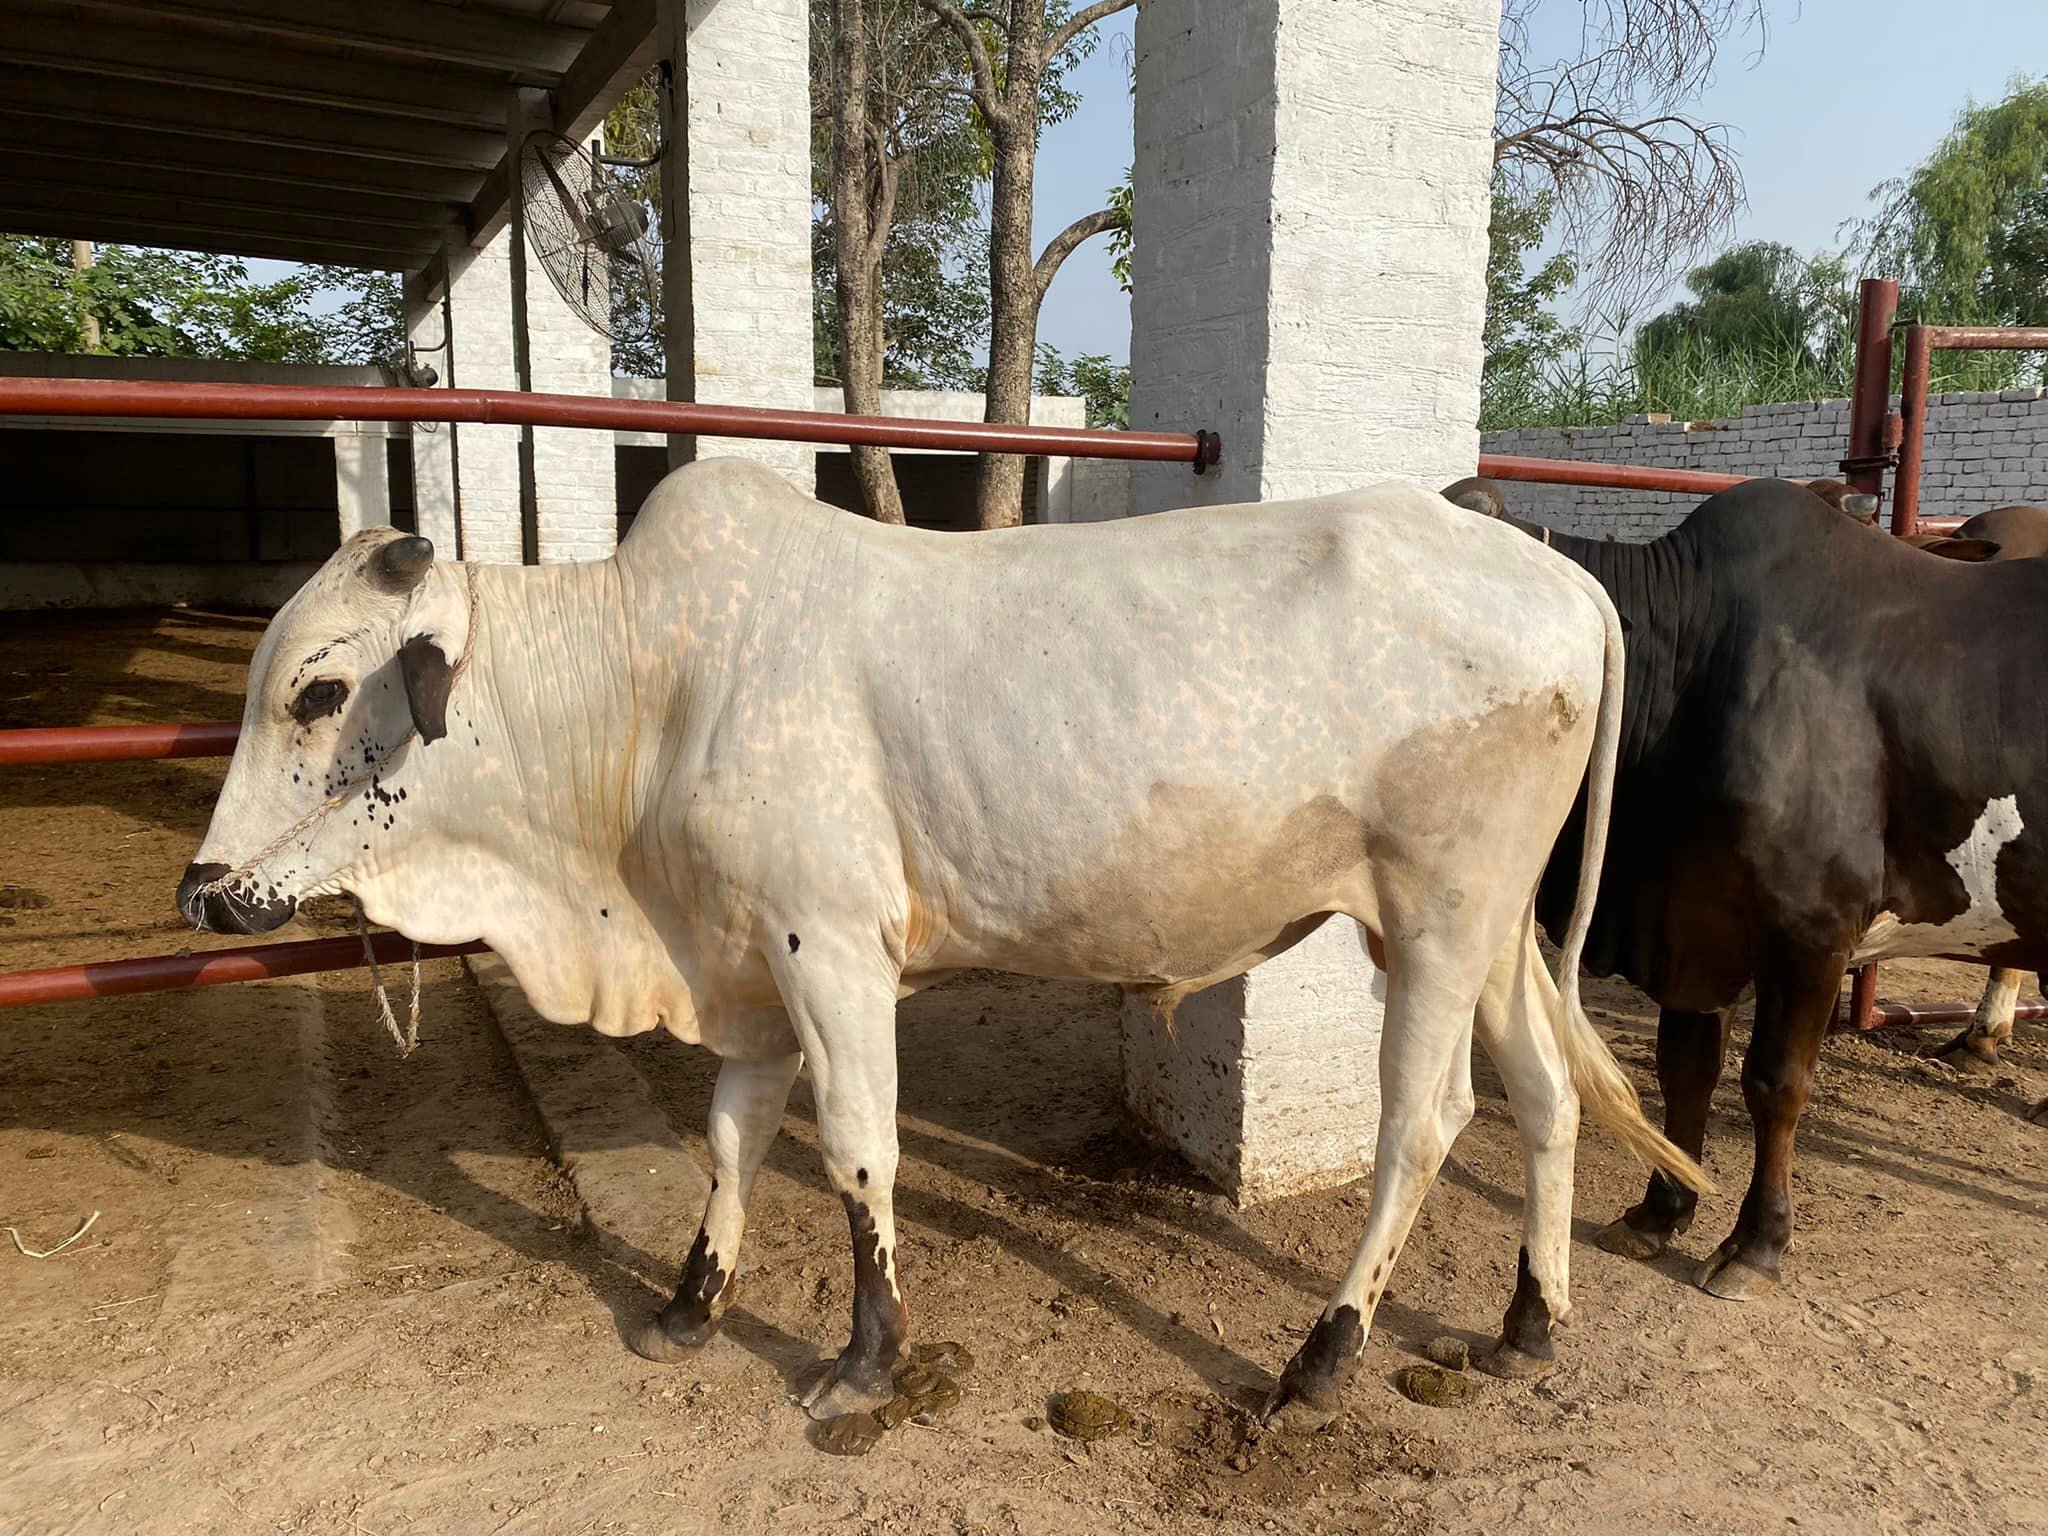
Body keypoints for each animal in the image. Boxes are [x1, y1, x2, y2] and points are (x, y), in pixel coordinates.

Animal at [179, 459, 1706, 1431]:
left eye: (318, 692)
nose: (204, 893)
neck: (647, 686)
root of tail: (1555, 573)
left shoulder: (830, 947)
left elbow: (860, 1148)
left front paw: (865, 1359)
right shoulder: (746, 965)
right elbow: (732, 1137)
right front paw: (690, 1305)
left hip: (1439, 921)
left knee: (1424, 1124)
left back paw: (1319, 1362)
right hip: (1485, 930)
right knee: (1550, 1097)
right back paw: (1528, 1323)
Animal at [1441, 472, 2048, 1300]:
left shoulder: (1814, 929)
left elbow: (1774, 1083)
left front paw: (1757, 1243)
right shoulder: (1696, 925)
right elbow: (1686, 1068)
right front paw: (1660, 1210)